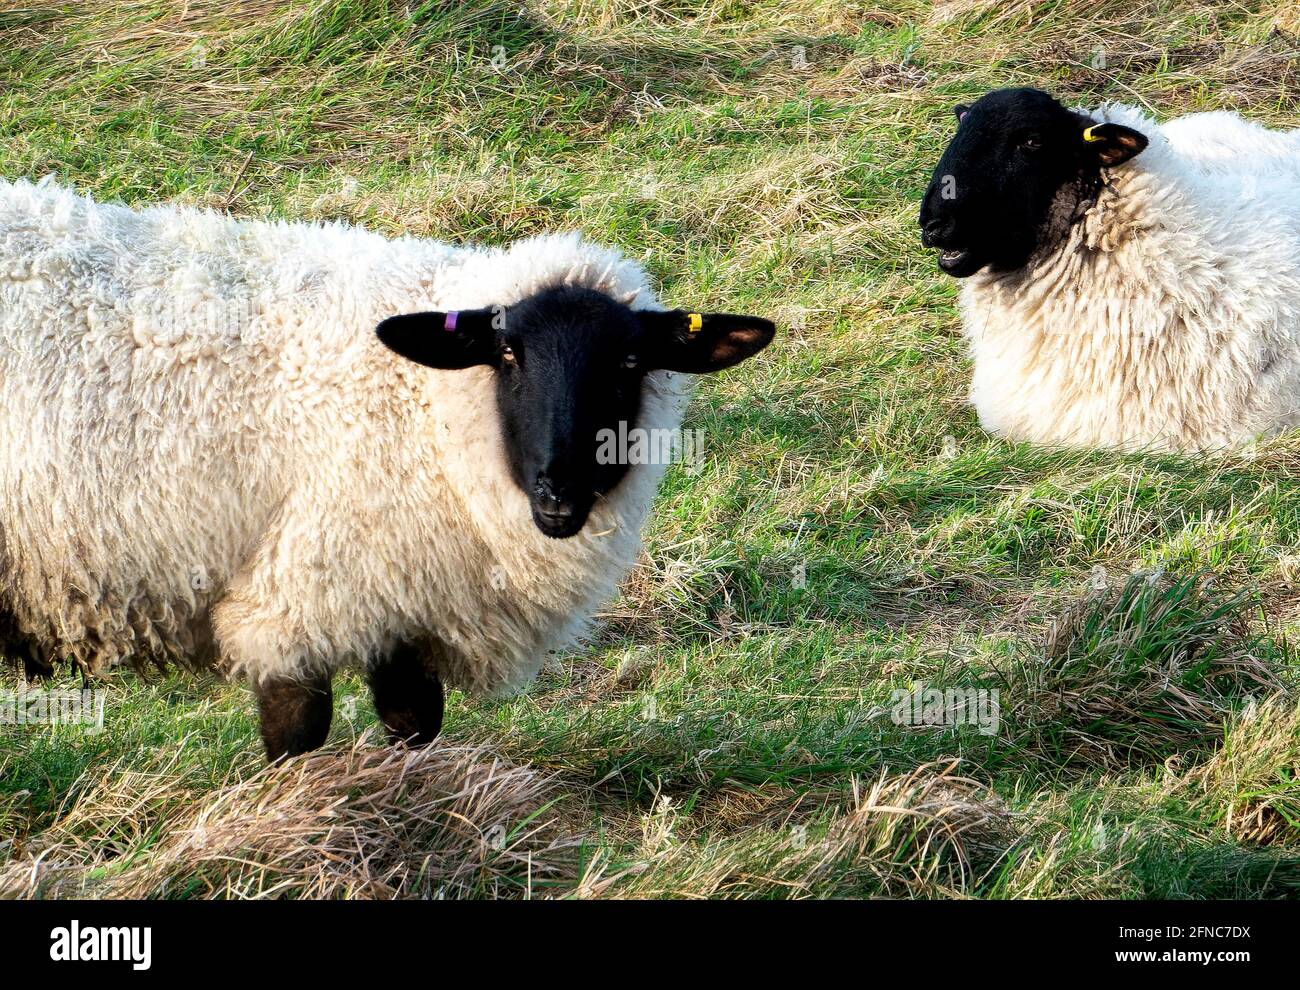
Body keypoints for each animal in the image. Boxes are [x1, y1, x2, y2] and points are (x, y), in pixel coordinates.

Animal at [0, 177, 775, 759]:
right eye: (508, 354)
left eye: (629, 363)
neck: (425, 406)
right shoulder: (300, 599)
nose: (558, 495)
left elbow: (415, 725)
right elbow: (297, 739)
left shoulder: (405, 610)